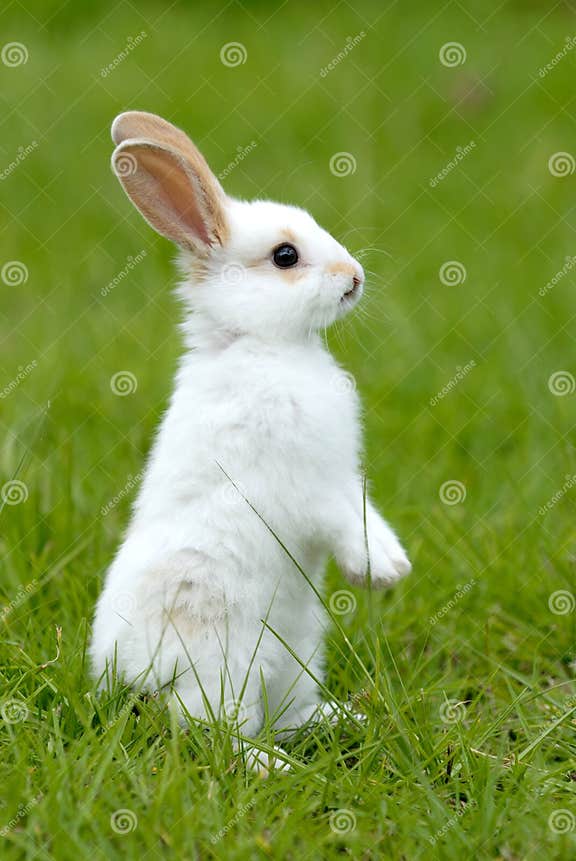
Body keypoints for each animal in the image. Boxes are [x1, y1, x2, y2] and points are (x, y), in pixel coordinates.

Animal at [90, 111, 411, 773]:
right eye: (285, 256)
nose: (354, 278)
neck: (264, 346)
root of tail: (127, 675)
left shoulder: (344, 477)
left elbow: (366, 510)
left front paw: (393, 565)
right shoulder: (308, 488)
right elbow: (342, 521)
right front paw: (380, 573)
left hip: (296, 655)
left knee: (281, 714)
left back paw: (342, 720)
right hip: (222, 661)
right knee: (207, 728)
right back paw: (273, 767)